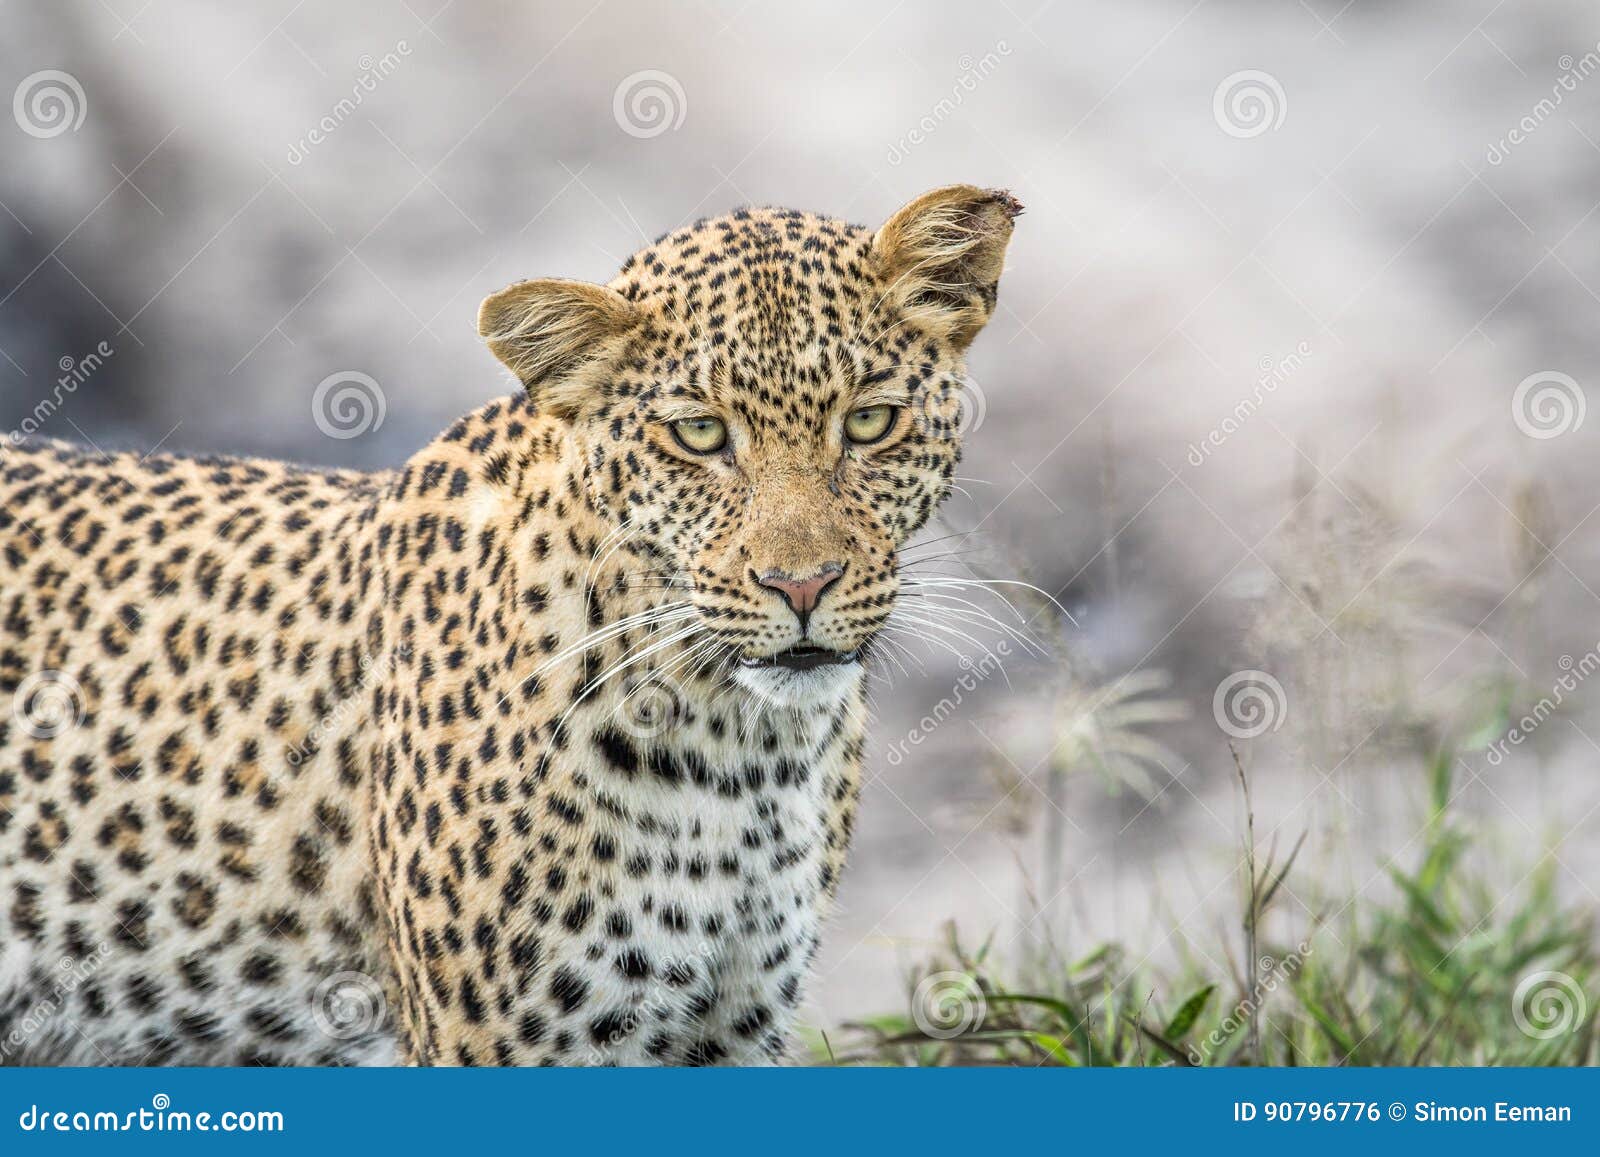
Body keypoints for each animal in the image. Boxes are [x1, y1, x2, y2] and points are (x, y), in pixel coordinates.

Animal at [0, 184, 1020, 1066]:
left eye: (872, 422)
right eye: (698, 435)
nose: (800, 584)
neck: (742, 756)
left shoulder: (735, 1028)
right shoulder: (506, 1044)